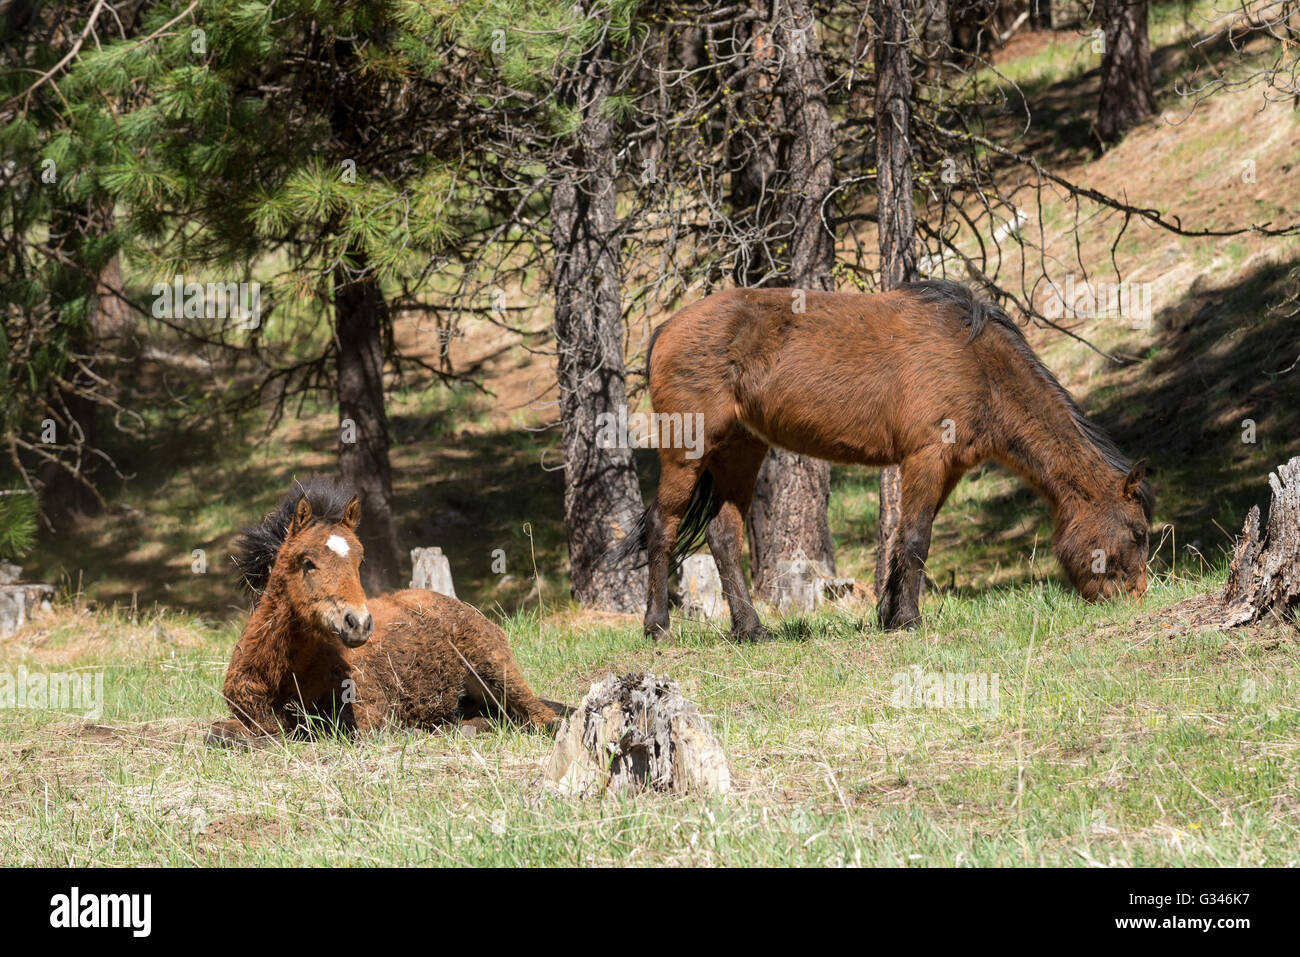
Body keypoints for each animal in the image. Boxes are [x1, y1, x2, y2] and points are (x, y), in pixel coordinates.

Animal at [208, 478, 558, 743]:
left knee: (543, 717)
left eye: (360, 561)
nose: (358, 623)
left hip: (495, 669)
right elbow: (220, 734)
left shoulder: (368, 717)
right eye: (308, 562)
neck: (279, 675)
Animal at [614, 280, 1154, 639]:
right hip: (687, 451)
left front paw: (889, 616)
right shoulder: (926, 457)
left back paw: (751, 629)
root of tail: (666, 328)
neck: (978, 365)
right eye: (1139, 533)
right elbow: (915, 539)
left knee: (723, 535)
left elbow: (900, 540)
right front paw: (909, 621)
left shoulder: (947, 469)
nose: (1135, 600)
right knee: (663, 526)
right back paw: (657, 625)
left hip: (741, 451)